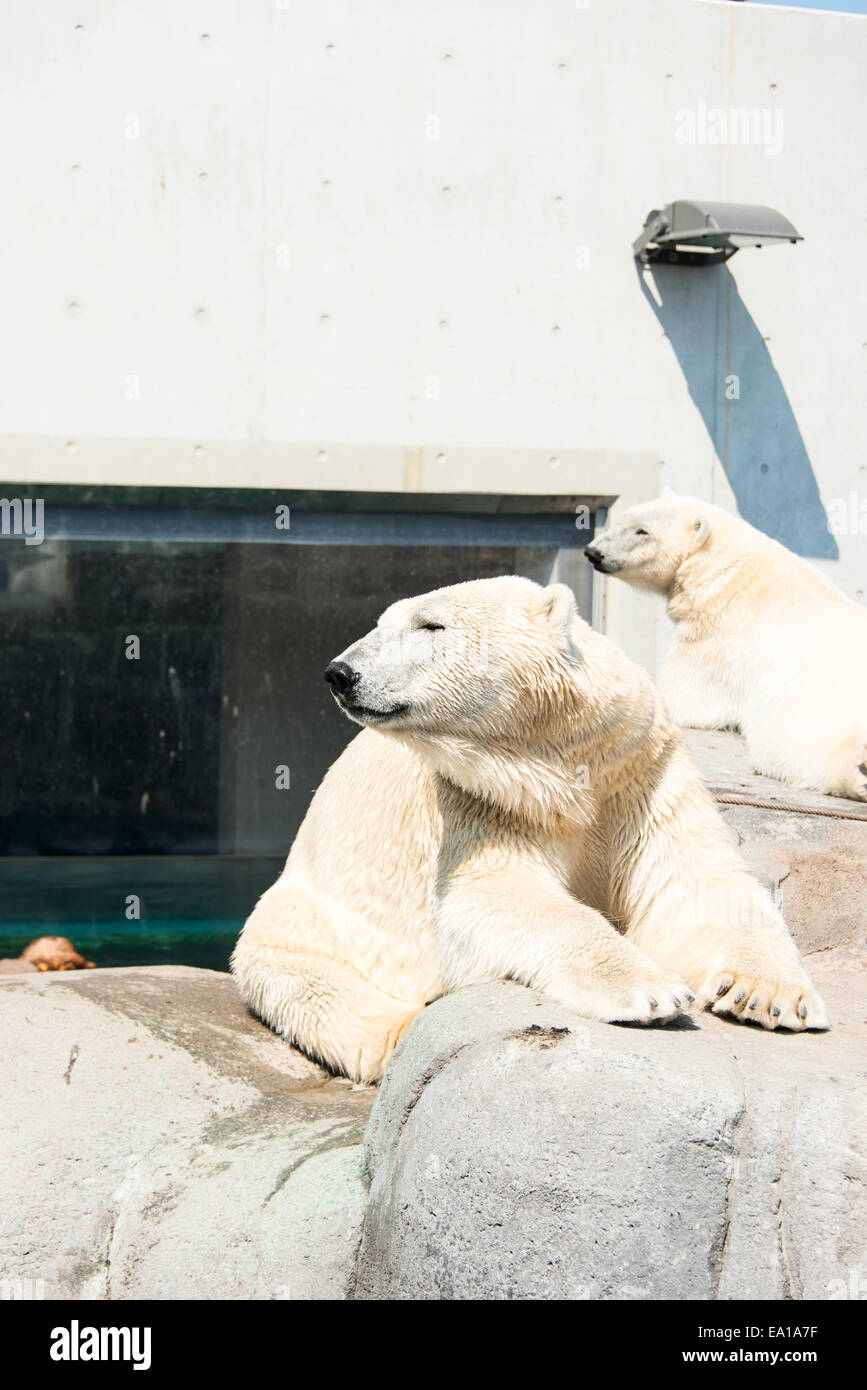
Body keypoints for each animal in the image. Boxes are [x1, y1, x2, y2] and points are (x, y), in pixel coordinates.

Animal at [231, 576, 829, 1084]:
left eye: (430, 625)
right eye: (383, 622)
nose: (340, 673)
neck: (560, 766)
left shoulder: (641, 772)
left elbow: (695, 883)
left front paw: (768, 996)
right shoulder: (481, 801)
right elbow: (493, 894)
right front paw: (651, 991)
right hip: (303, 921)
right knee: (317, 988)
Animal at [585, 494, 867, 802]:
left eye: (642, 531)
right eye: (624, 520)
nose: (593, 552)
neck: (722, 570)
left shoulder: (716, 637)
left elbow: (682, 696)